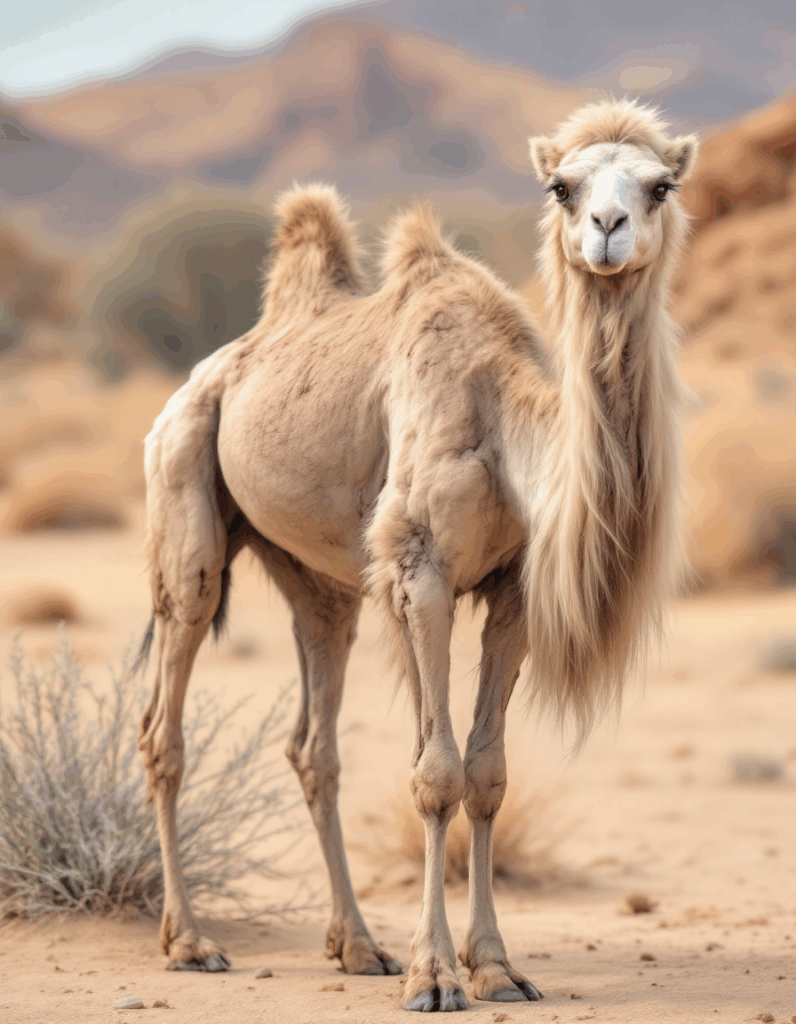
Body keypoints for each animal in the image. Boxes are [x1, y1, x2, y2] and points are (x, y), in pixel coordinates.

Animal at [137, 99, 697, 1011]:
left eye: (659, 185)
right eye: (562, 185)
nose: (608, 230)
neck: (509, 428)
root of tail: (207, 372)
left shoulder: (512, 594)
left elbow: (487, 773)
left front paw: (497, 966)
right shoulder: (420, 570)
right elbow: (436, 774)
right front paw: (436, 976)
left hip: (320, 583)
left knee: (313, 743)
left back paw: (358, 945)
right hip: (183, 498)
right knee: (165, 722)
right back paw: (189, 942)